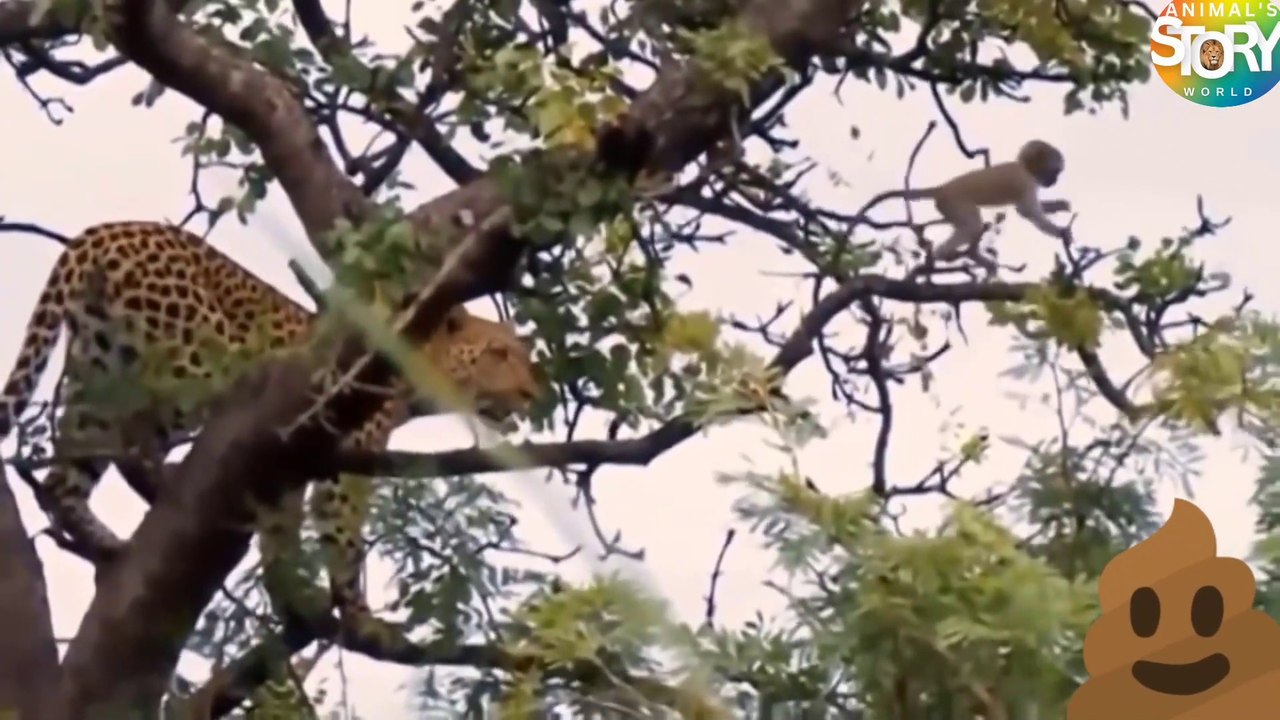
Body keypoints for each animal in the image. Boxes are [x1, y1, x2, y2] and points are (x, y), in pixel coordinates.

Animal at [859, 140, 1074, 268]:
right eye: (1056, 172)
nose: (1054, 181)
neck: (1024, 167)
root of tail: (942, 188)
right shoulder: (1024, 180)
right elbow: (1026, 211)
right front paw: (1061, 232)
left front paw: (1060, 205)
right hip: (954, 201)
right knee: (972, 224)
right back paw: (943, 254)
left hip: (947, 206)